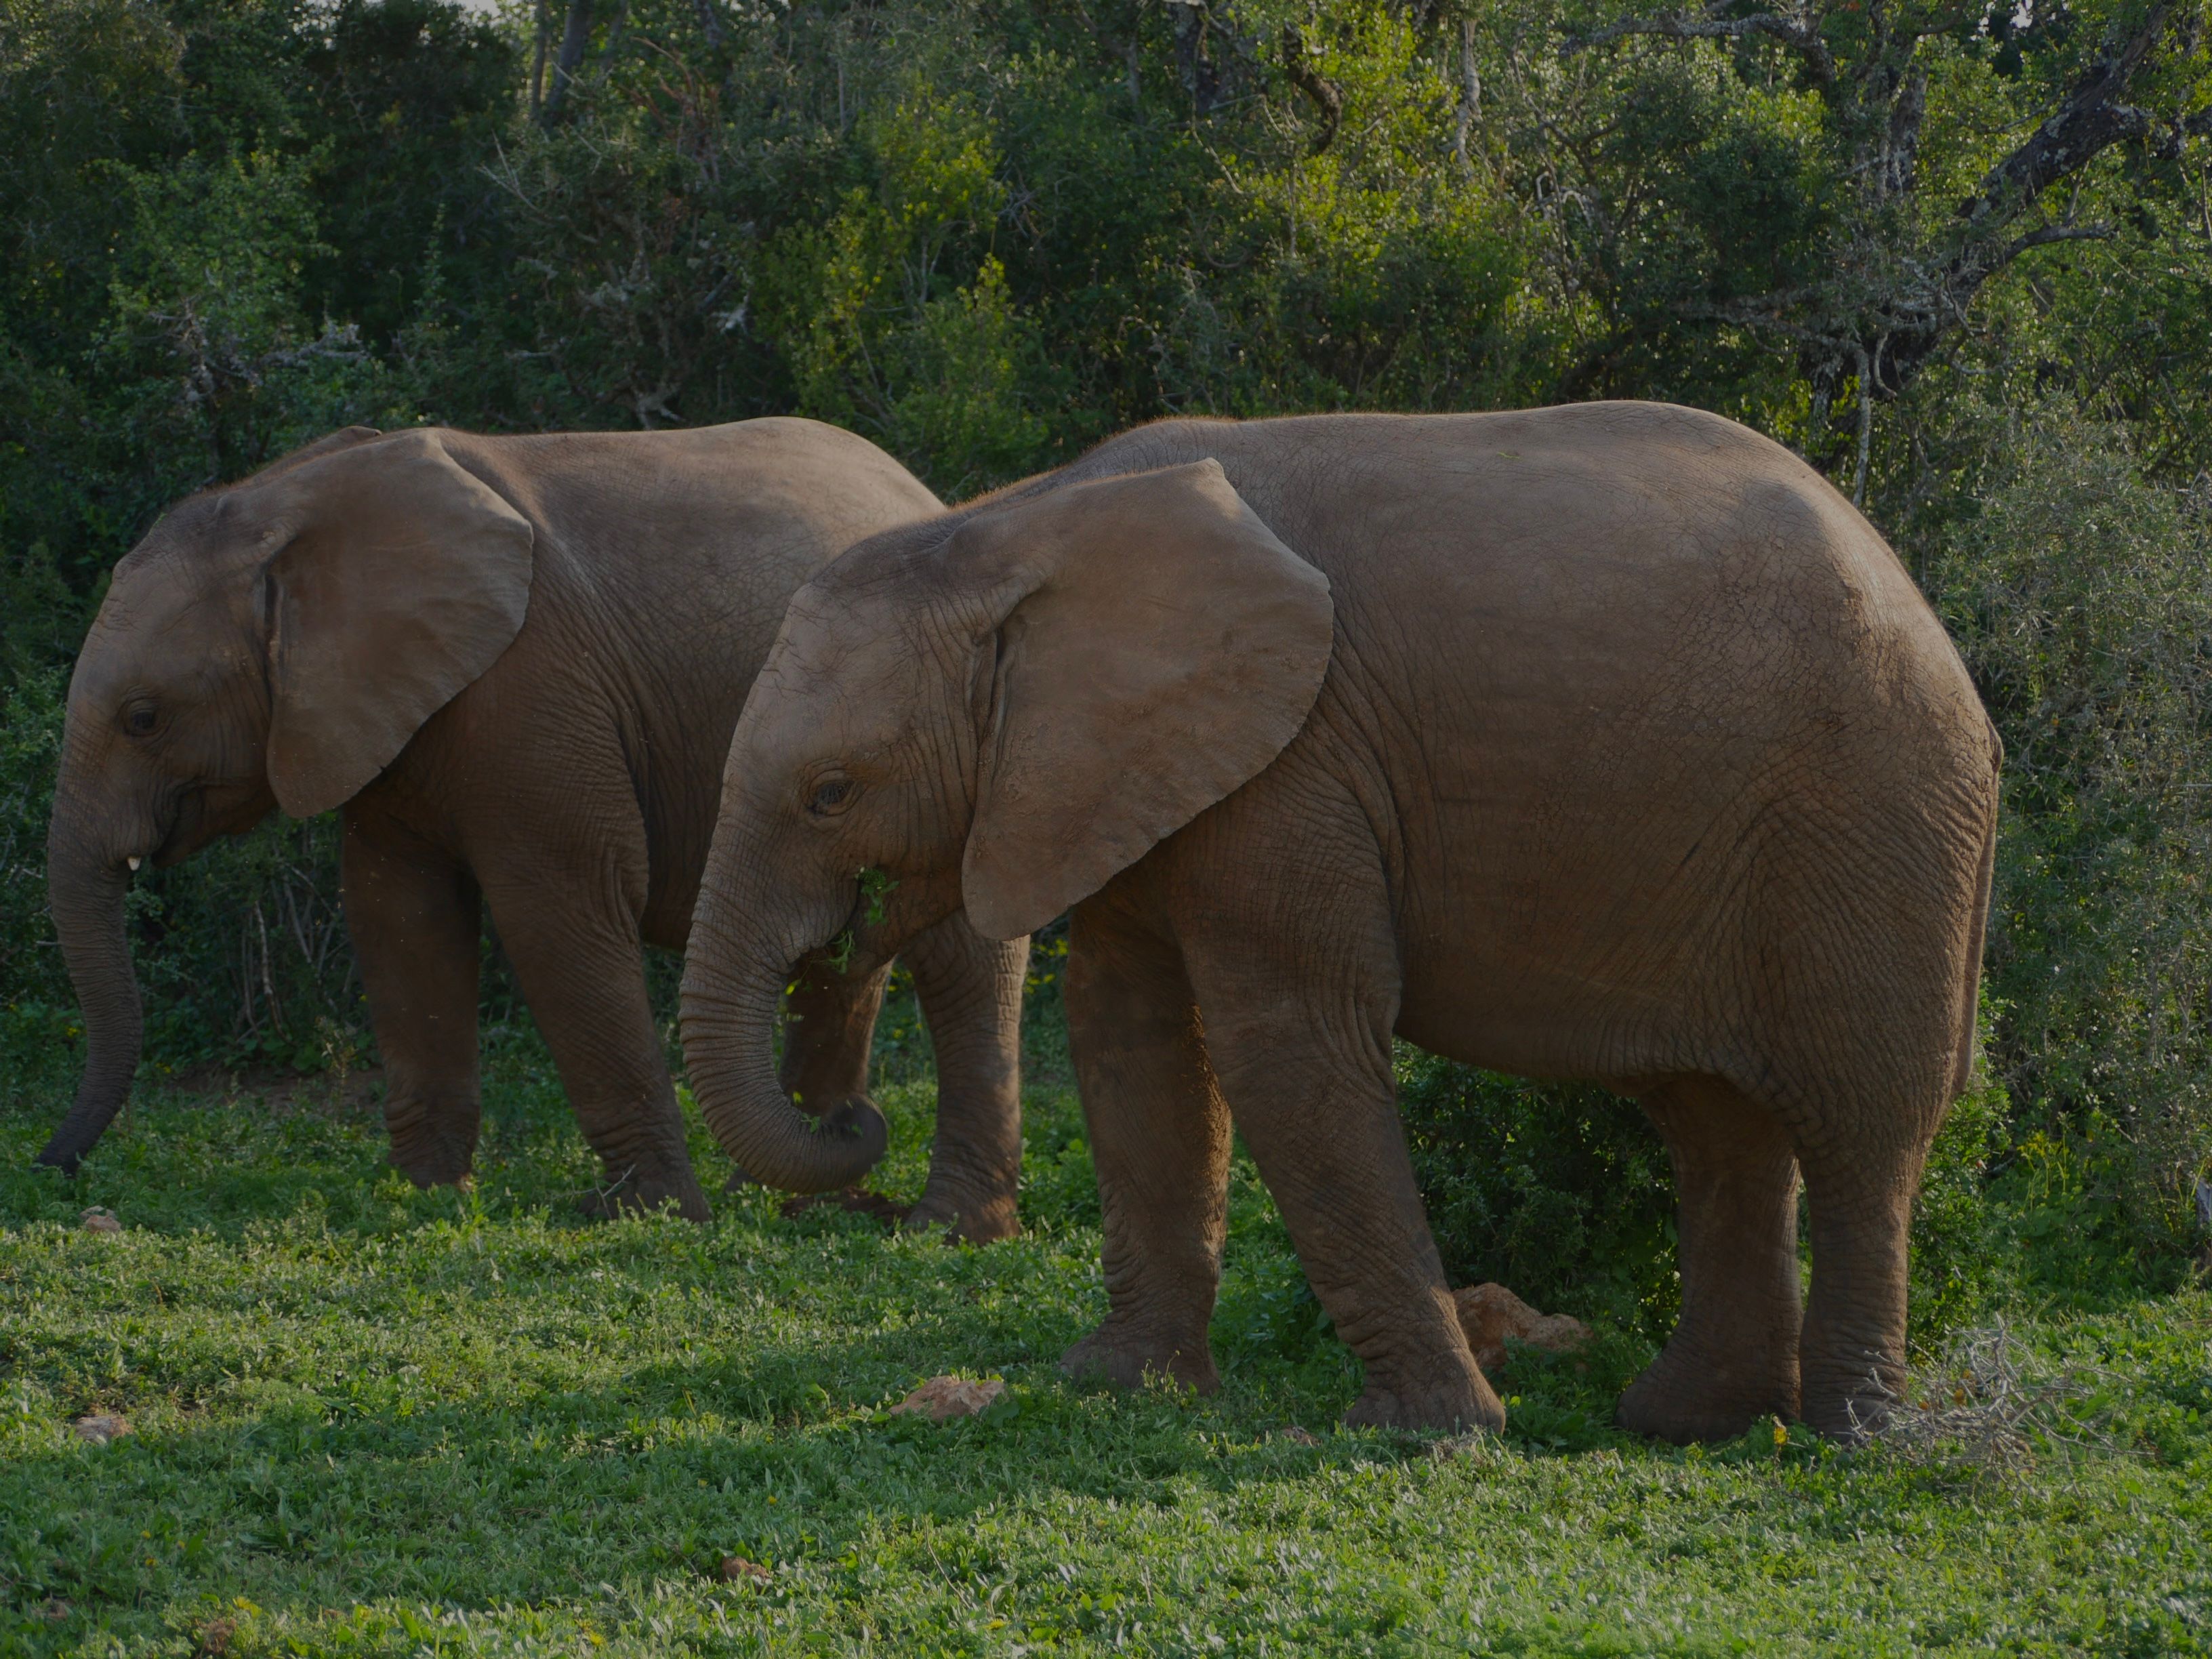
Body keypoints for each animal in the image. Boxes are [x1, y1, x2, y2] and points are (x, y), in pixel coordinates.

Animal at [40, 419, 1027, 1237]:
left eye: (142, 718)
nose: (53, 1166)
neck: (289, 503)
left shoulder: (532, 690)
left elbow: (558, 913)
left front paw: (646, 1216)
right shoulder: (391, 718)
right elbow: (399, 916)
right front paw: (429, 1201)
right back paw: (800, 1187)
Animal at [675, 402, 2001, 1441]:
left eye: (830, 792)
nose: (850, 1120)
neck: (1015, 527)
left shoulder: (1292, 768)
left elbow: (1286, 1043)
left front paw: (1425, 1433)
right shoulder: (1142, 772)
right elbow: (1129, 1035)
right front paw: (1117, 1386)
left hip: (1873, 815)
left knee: (1861, 1125)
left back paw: (1846, 1436)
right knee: (1715, 1121)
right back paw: (1687, 1422)